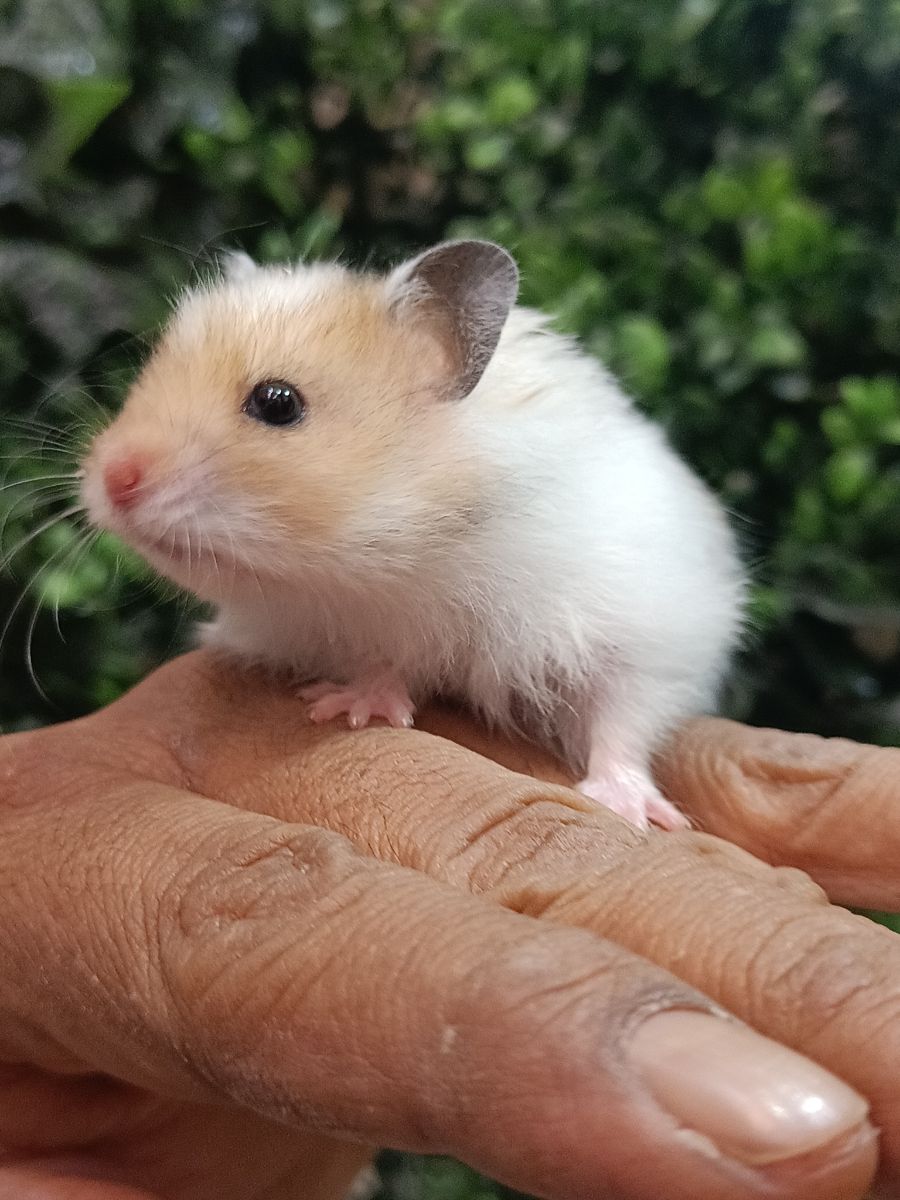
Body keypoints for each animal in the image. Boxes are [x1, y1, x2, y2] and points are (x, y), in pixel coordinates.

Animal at [81, 240, 745, 830]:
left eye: (277, 402)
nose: (109, 479)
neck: (418, 558)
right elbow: (382, 660)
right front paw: (348, 708)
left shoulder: (645, 632)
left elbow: (624, 717)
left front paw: (624, 810)